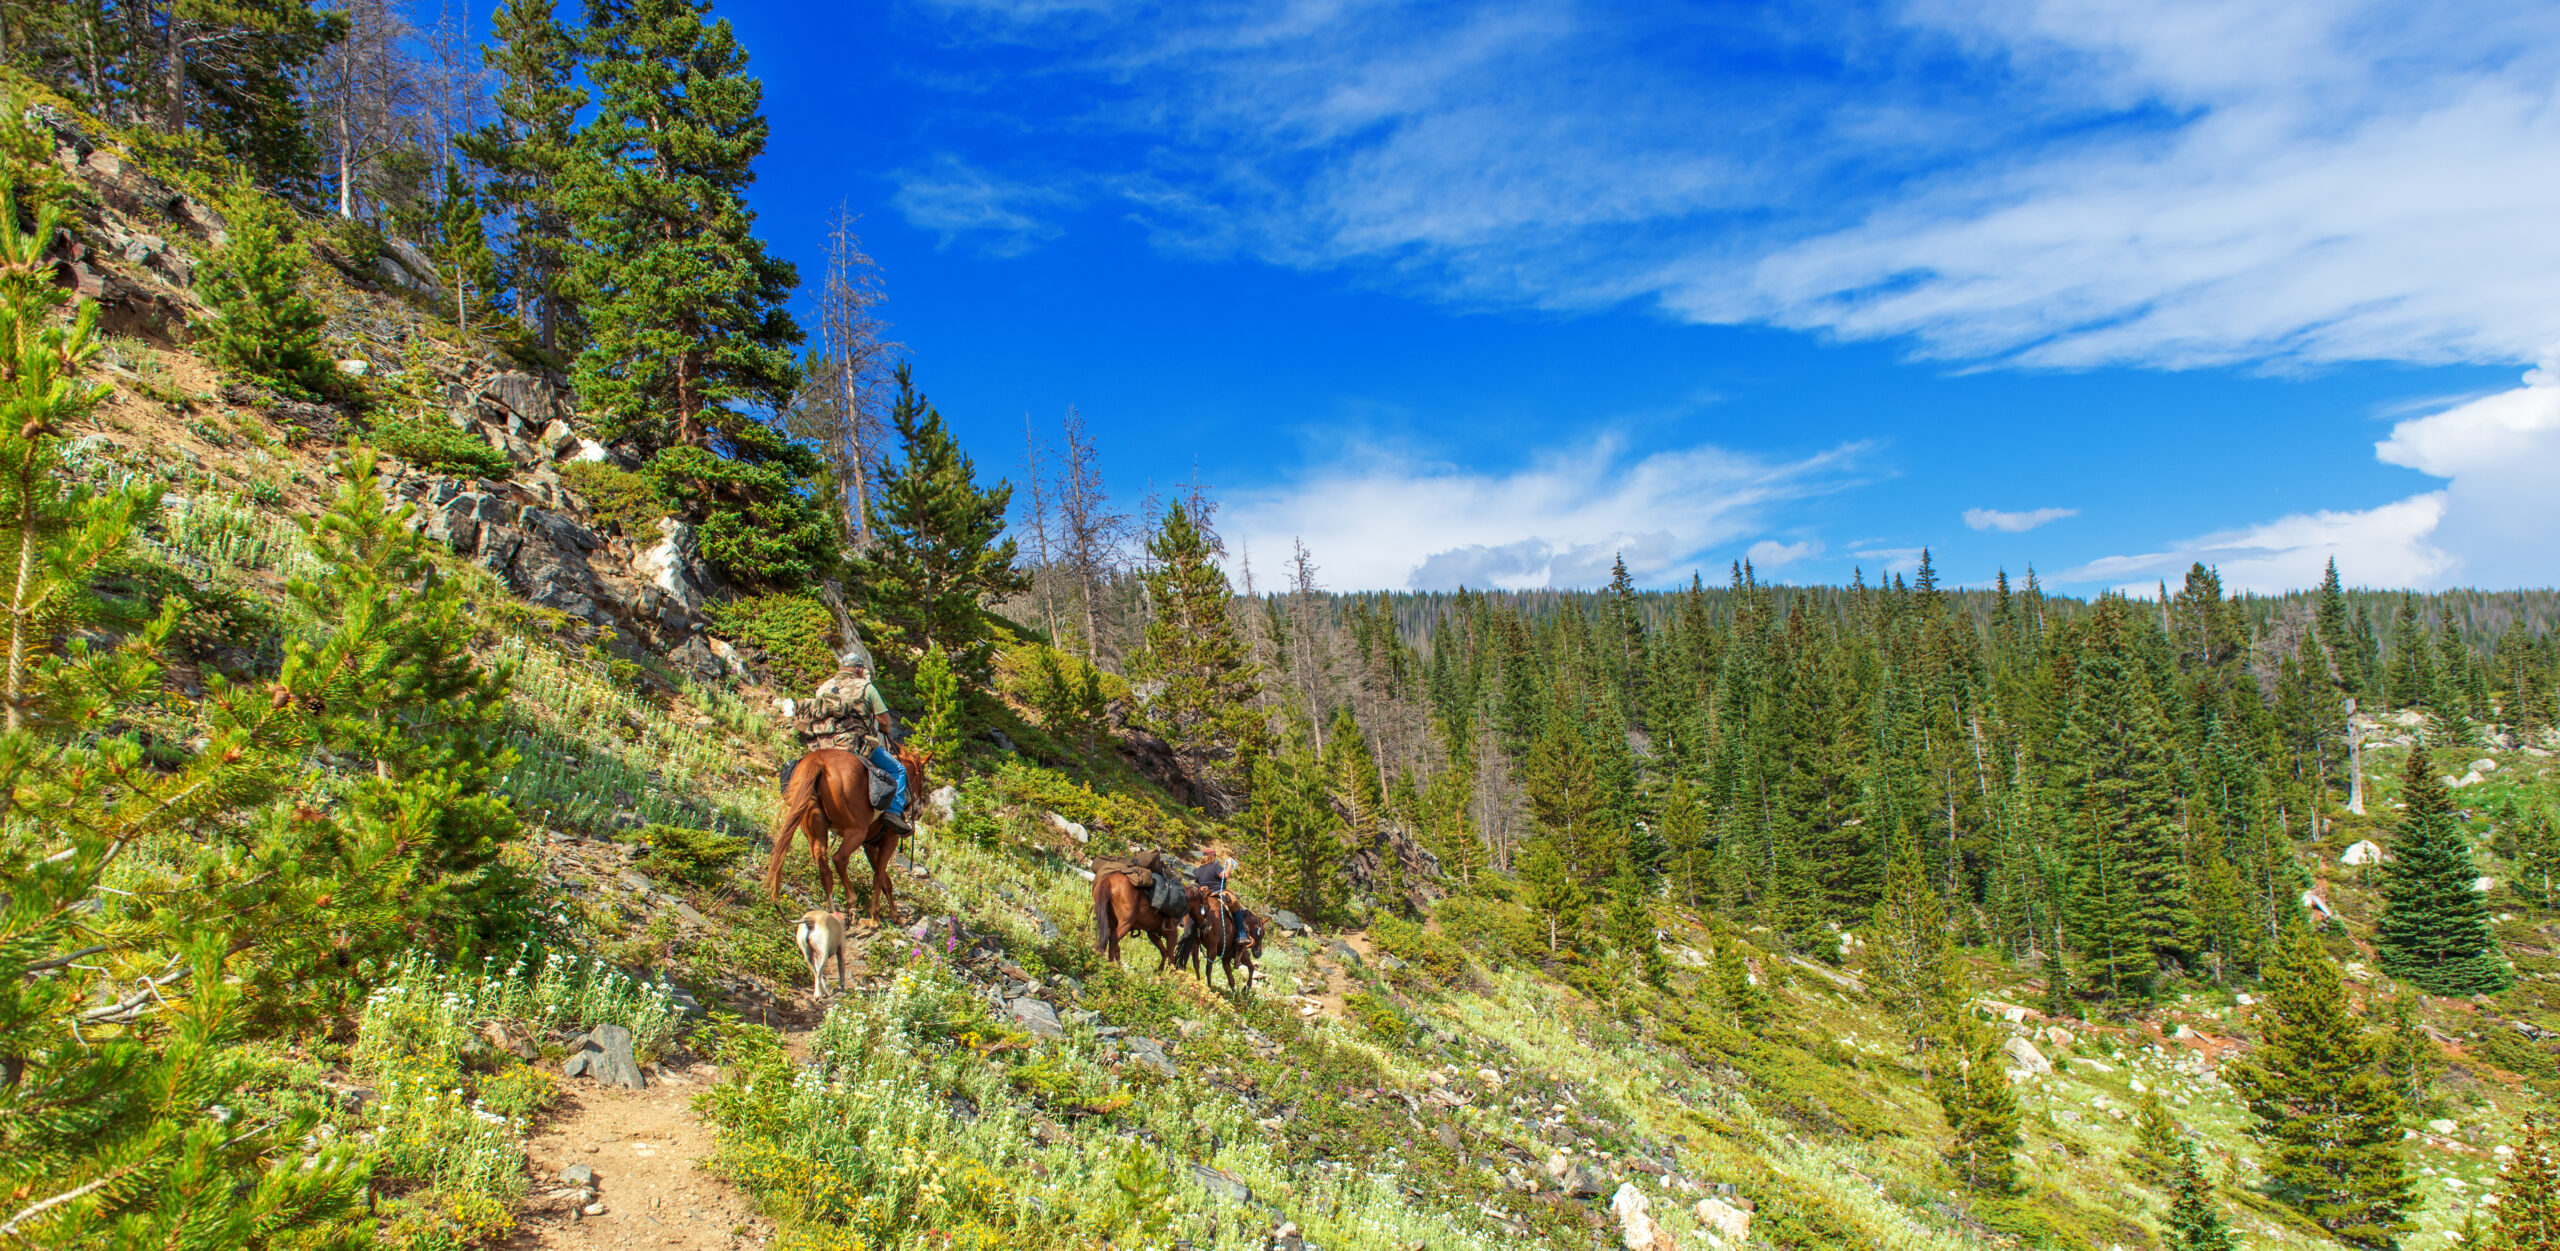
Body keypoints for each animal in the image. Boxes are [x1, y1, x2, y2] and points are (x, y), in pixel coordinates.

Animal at [763, 746, 933, 924]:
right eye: (922, 780)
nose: (919, 811)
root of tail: (818, 759)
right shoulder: (889, 840)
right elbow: (879, 876)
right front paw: (875, 918)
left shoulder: (870, 845)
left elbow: (886, 880)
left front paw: (894, 915)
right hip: (856, 831)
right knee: (839, 859)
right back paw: (851, 902)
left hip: (815, 830)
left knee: (824, 867)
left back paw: (833, 912)